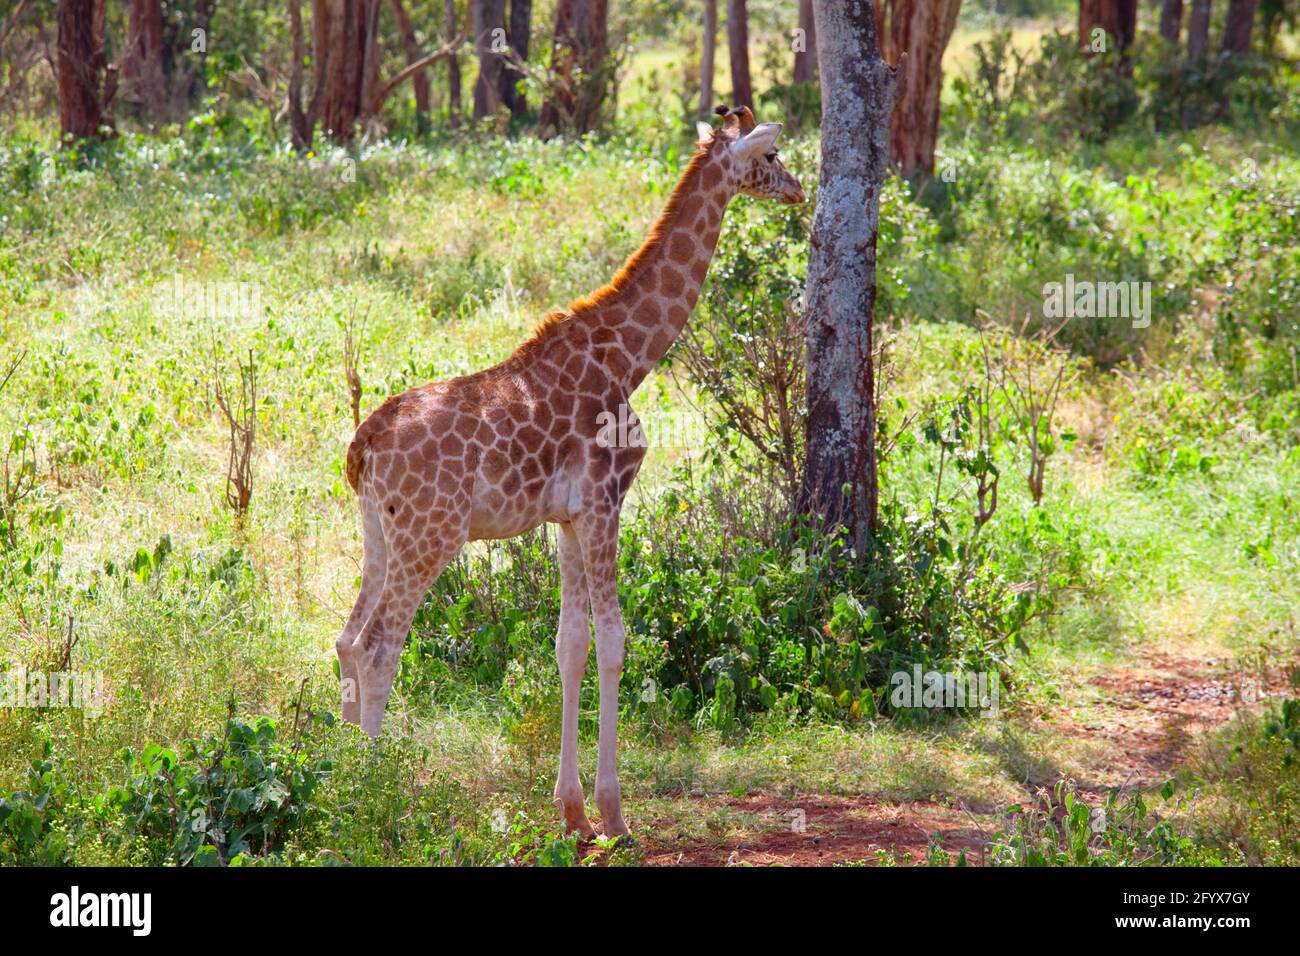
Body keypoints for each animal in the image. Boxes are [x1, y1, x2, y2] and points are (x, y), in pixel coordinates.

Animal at [337, 106, 805, 839]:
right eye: (772, 155)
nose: (799, 190)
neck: (631, 353)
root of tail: (363, 446)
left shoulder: (566, 516)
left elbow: (569, 644)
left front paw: (573, 812)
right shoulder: (606, 500)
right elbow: (613, 641)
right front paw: (614, 813)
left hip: (378, 533)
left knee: (345, 638)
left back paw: (336, 774)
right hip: (430, 536)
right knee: (380, 646)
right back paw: (376, 797)